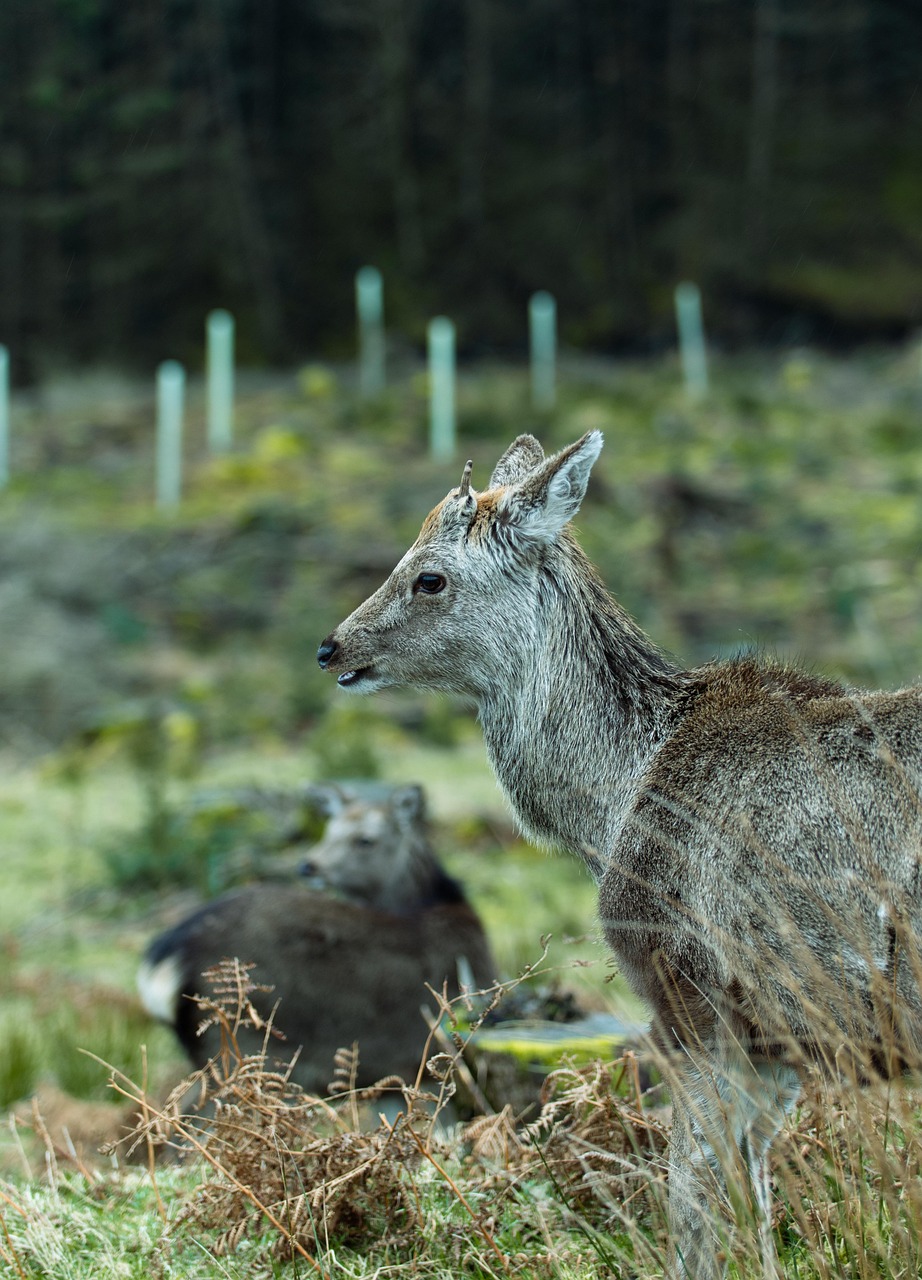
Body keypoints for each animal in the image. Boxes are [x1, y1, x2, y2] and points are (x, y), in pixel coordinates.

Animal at [138, 782, 496, 1096]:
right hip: (242, 1047)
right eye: (329, 831)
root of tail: (161, 967)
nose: (309, 866)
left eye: (365, 840)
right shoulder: (430, 1058)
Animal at [317, 431, 922, 1279]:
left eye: (429, 576)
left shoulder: (694, 995)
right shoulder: (779, 1040)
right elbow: (756, 1206)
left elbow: (696, 1204)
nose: (331, 644)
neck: (612, 809)